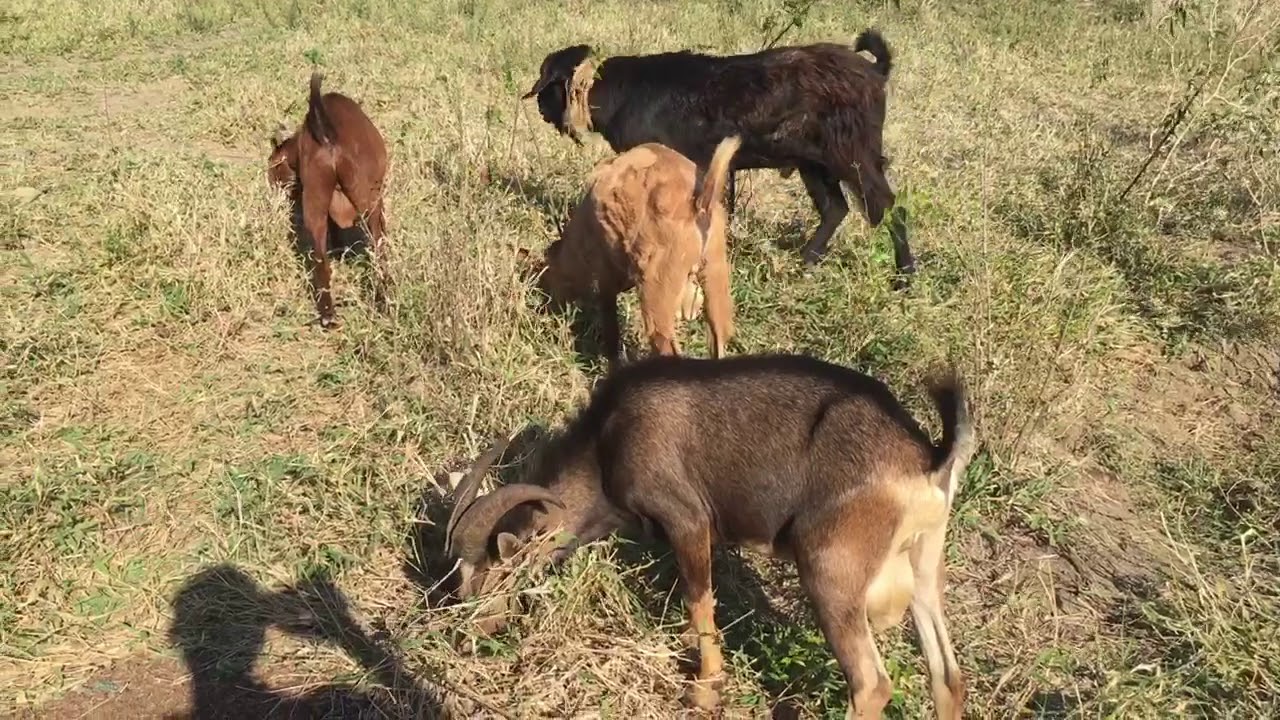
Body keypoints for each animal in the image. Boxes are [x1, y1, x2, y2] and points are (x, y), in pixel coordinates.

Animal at [267, 71, 388, 329]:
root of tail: (325, 133)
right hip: (370, 203)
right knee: (378, 248)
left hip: (318, 200)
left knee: (321, 258)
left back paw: (328, 312)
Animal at [443, 352, 976, 719]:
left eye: (490, 574)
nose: (465, 638)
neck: (605, 445)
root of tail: (928, 460)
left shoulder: (686, 517)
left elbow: (699, 599)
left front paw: (704, 687)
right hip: (924, 565)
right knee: (948, 678)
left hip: (833, 572)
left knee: (871, 685)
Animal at [518, 135, 742, 364]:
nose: (542, 309)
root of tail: (699, 203)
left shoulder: (604, 279)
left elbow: (611, 328)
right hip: (716, 282)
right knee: (718, 343)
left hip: (657, 292)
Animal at [521, 30, 914, 286]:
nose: (540, 109)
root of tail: (875, 71)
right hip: (814, 165)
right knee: (836, 209)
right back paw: (805, 262)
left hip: (852, 155)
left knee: (888, 204)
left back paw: (905, 274)